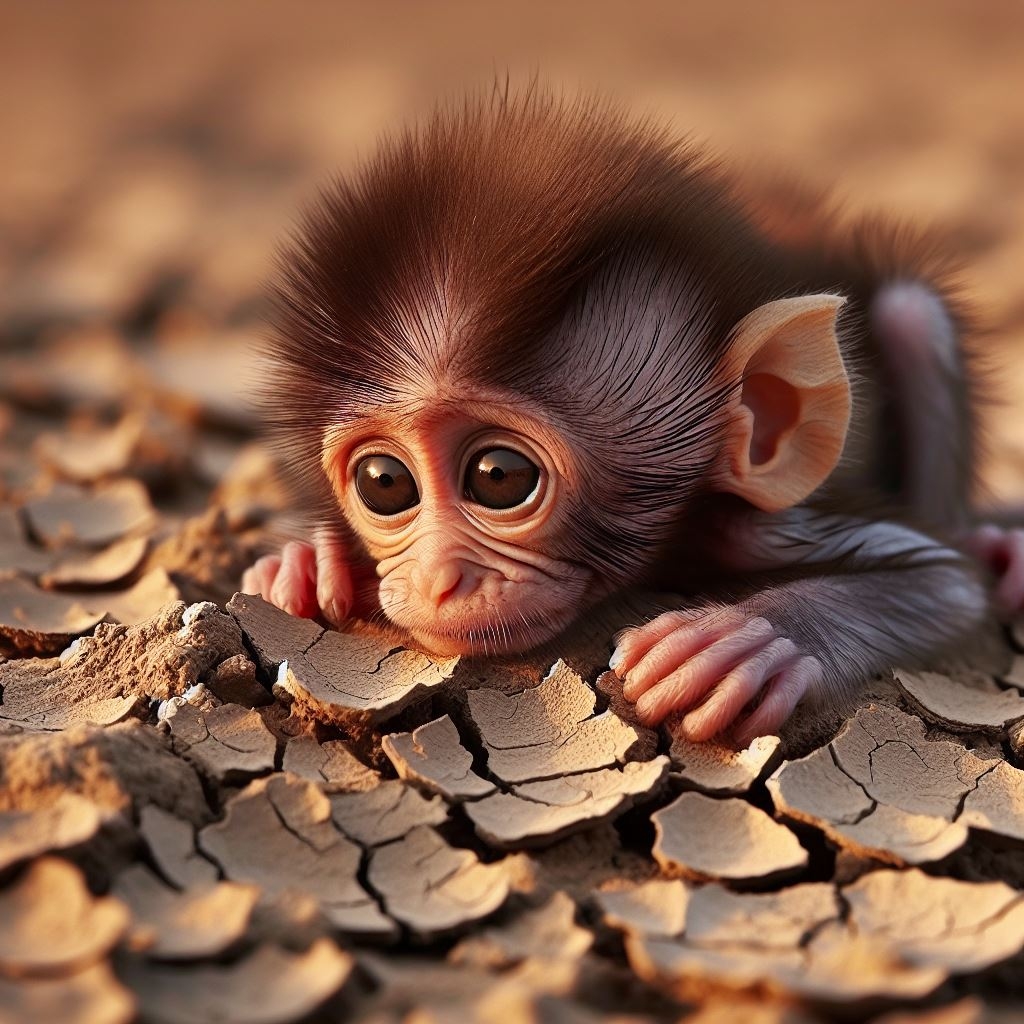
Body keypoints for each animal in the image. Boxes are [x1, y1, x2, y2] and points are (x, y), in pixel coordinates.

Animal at [242, 89, 1024, 747]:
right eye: (384, 483)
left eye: (499, 477)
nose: (437, 580)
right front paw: (309, 561)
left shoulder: (759, 526)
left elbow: (944, 581)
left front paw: (748, 639)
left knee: (913, 318)